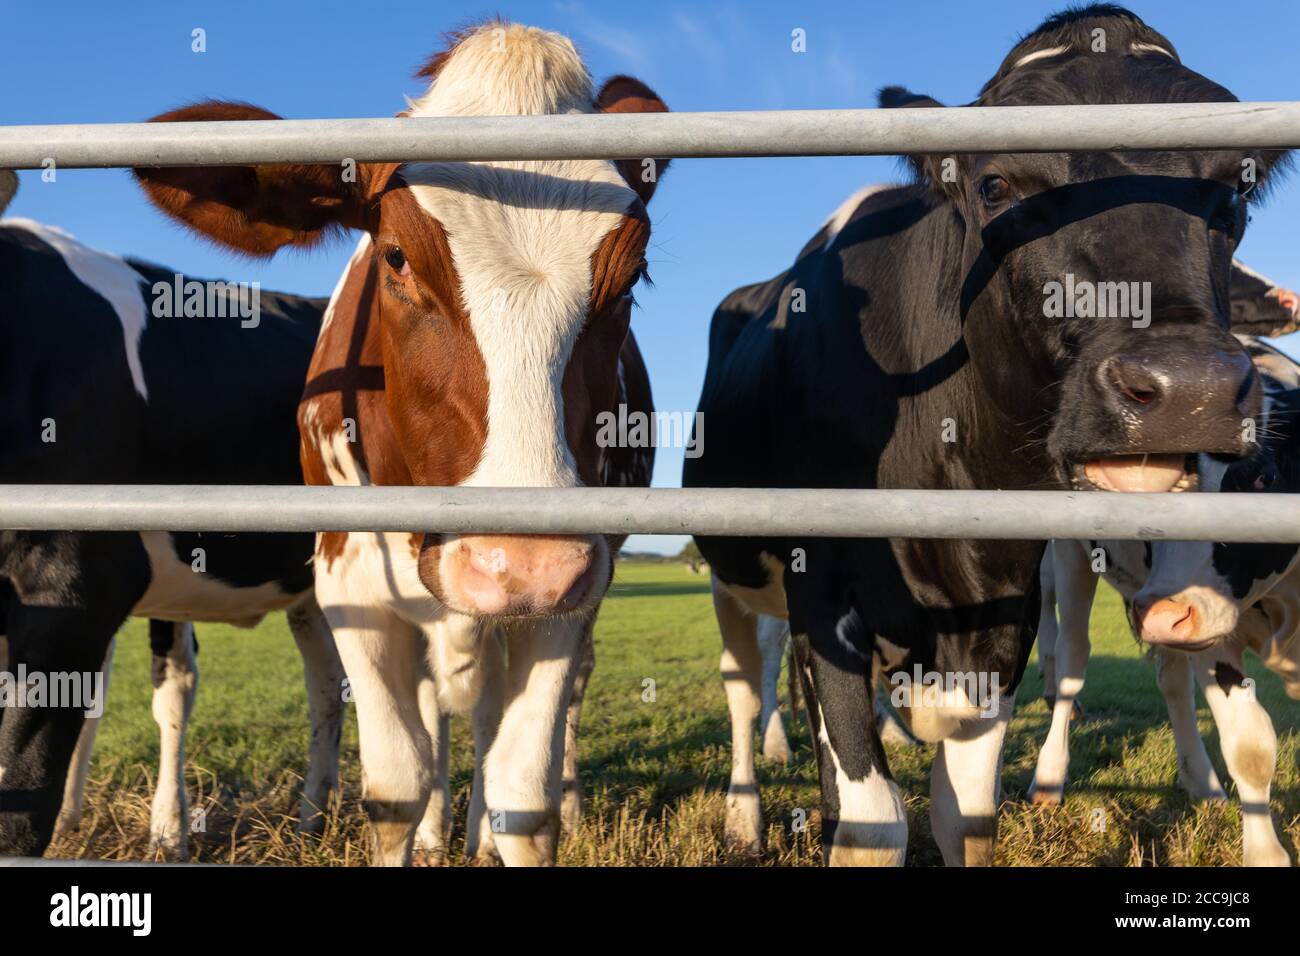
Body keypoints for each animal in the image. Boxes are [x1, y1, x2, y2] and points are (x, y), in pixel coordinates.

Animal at [133, 21, 665, 866]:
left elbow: (523, 787)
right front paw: (417, 827)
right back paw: (440, 830)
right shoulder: (348, 580)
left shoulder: (574, 585)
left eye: (633, 277)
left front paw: (509, 821)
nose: (519, 563)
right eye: (396, 258)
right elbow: (395, 784)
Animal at [1031, 352, 1300, 866]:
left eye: (1265, 477)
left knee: (1172, 682)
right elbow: (1250, 746)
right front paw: (1265, 854)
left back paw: (1202, 782)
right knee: (1071, 659)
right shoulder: (1215, 643)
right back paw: (1048, 777)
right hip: (1071, 556)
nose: (1159, 613)